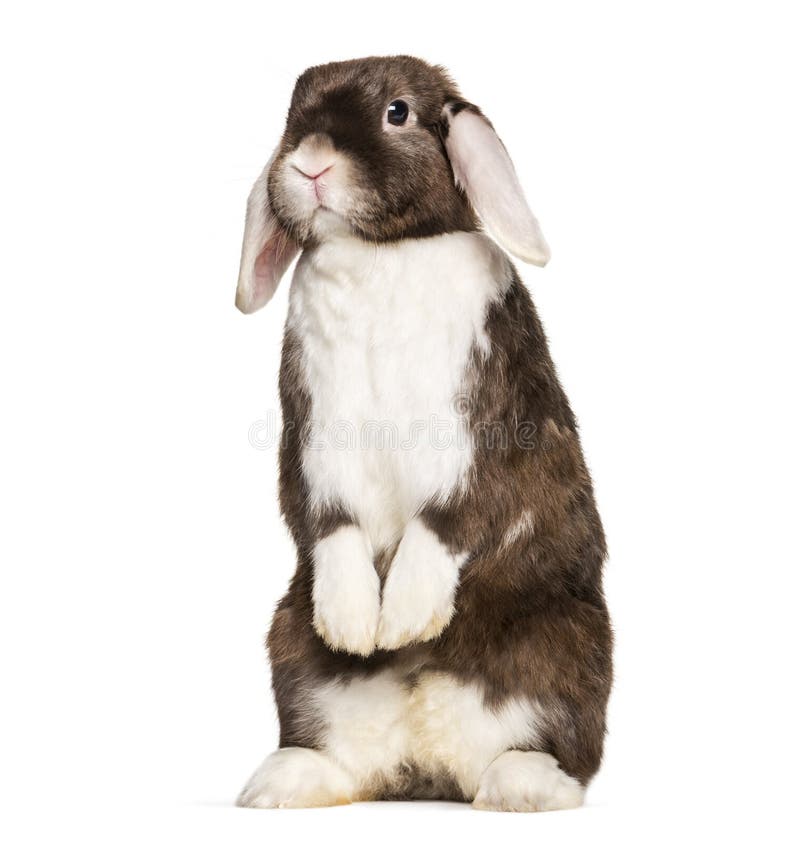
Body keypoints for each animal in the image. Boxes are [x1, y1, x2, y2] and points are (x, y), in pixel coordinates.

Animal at [233, 56, 612, 812]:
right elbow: (332, 523)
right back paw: (282, 781)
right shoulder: (316, 444)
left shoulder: (482, 436)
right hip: (291, 645)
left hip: (567, 644)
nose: (310, 161)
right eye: (293, 113)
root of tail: (430, 764)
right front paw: (354, 626)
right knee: (343, 757)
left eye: (398, 112)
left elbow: (449, 519)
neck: (383, 252)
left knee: (553, 749)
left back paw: (524, 786)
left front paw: (404, 620)